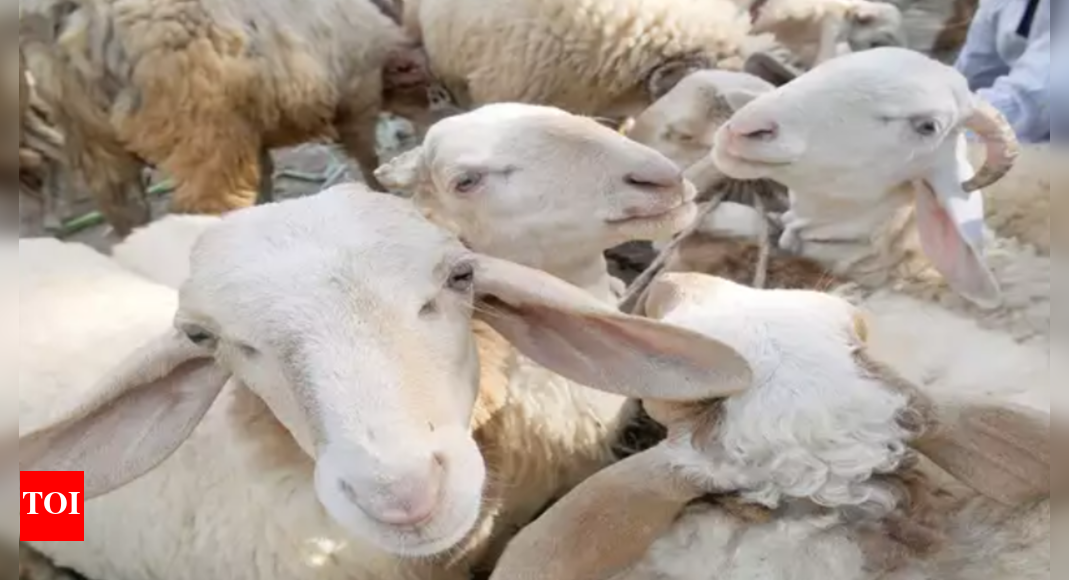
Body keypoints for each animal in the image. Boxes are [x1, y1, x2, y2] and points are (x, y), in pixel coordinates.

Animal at [18, 0, 442, 238]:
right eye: (434, 92)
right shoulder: (357, 95)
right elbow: (367, 158)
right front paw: (383, 194)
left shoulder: (255, 126)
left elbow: (267, 171)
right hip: (203, 134)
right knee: (201, 210)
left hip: (92, 138)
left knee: (125, 212)